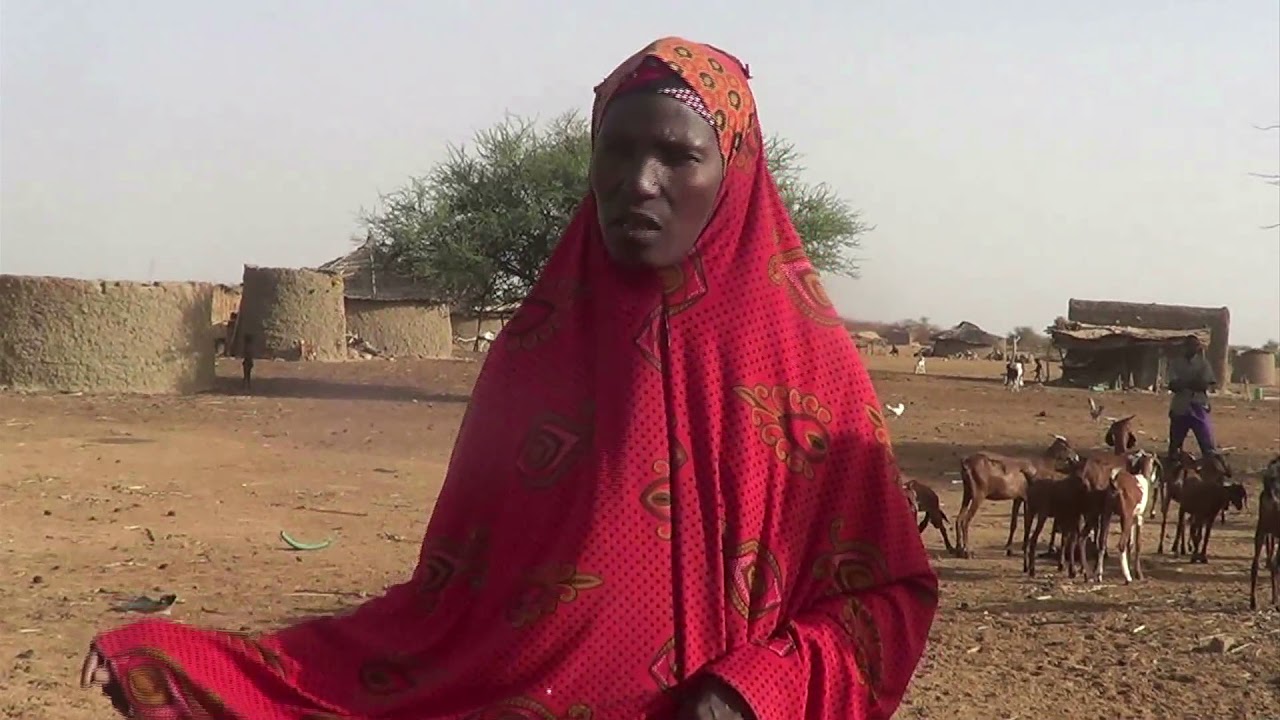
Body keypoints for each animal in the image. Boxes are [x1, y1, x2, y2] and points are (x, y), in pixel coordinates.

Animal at [1109, 451, 1157, 584]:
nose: (1153, 477)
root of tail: (1116, 484)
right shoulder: (1139, 518)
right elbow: (1138, 544)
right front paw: (1139, 574)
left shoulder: (1129, 519)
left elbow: (1130, 544)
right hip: (1127, 518)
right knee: (1121, 544)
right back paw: (1127, 578)